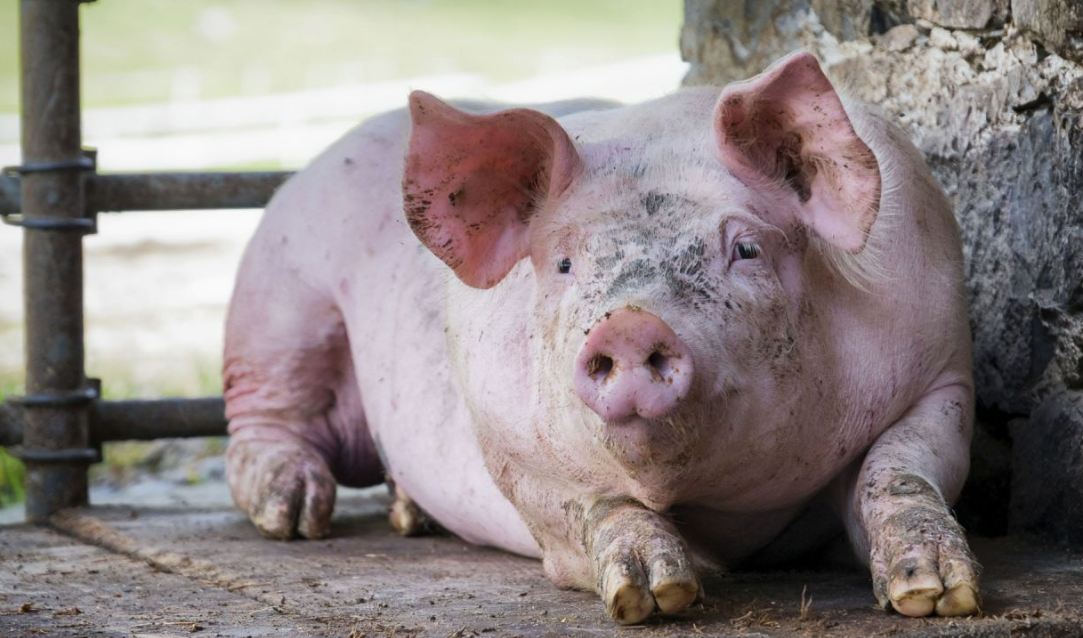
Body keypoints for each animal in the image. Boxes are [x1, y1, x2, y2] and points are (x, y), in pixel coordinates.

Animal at [223, 51, 979, 624]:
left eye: (745, 249)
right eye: (563, 264)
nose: (631, 322)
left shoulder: (942, 369)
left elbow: (897, 471)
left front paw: (933, 596)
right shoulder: (503, 444)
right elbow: (589, 503)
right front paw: (655, 597)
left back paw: (409, 517)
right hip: (277, 303)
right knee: (265, 423)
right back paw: (295, 515)